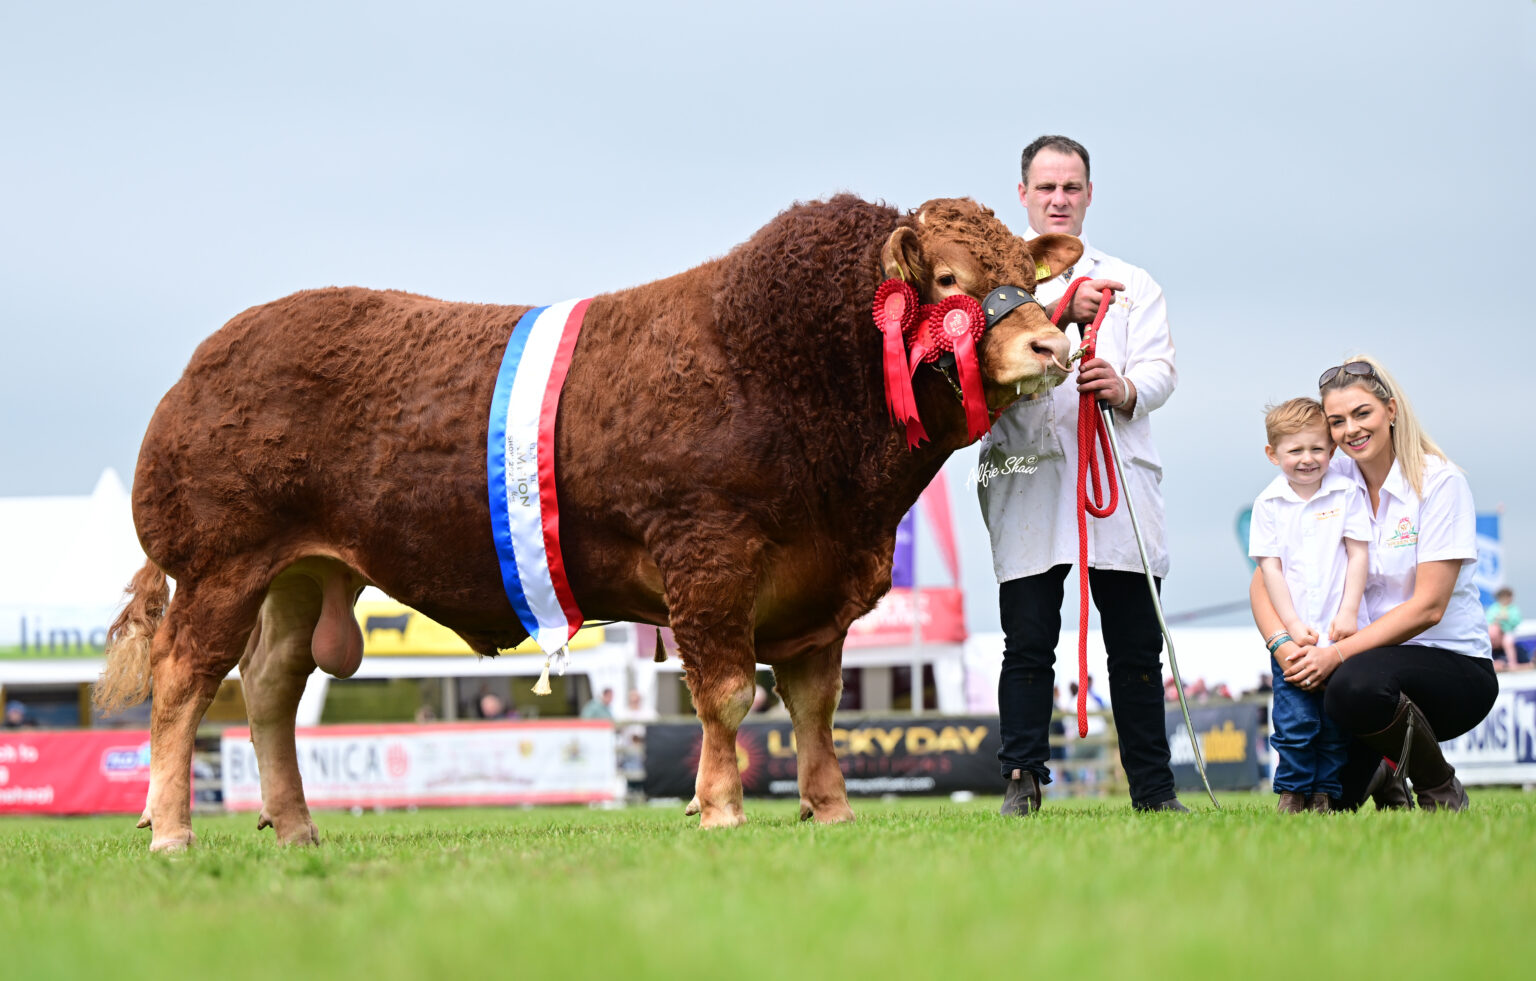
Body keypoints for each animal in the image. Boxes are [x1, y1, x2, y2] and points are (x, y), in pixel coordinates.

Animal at [95, 194, 1082, 851]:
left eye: (1029, 276)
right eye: (949, 280)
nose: (1051, 344)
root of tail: (209, 359)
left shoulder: (818, 585)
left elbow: (814, 705)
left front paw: (829, 810)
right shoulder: (708, 557)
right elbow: (728, 694)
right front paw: (720, 808)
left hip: (299, 572)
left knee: (268, 687)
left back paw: (296, 827)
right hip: (223, 562)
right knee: (184, 681)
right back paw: (172, 829)